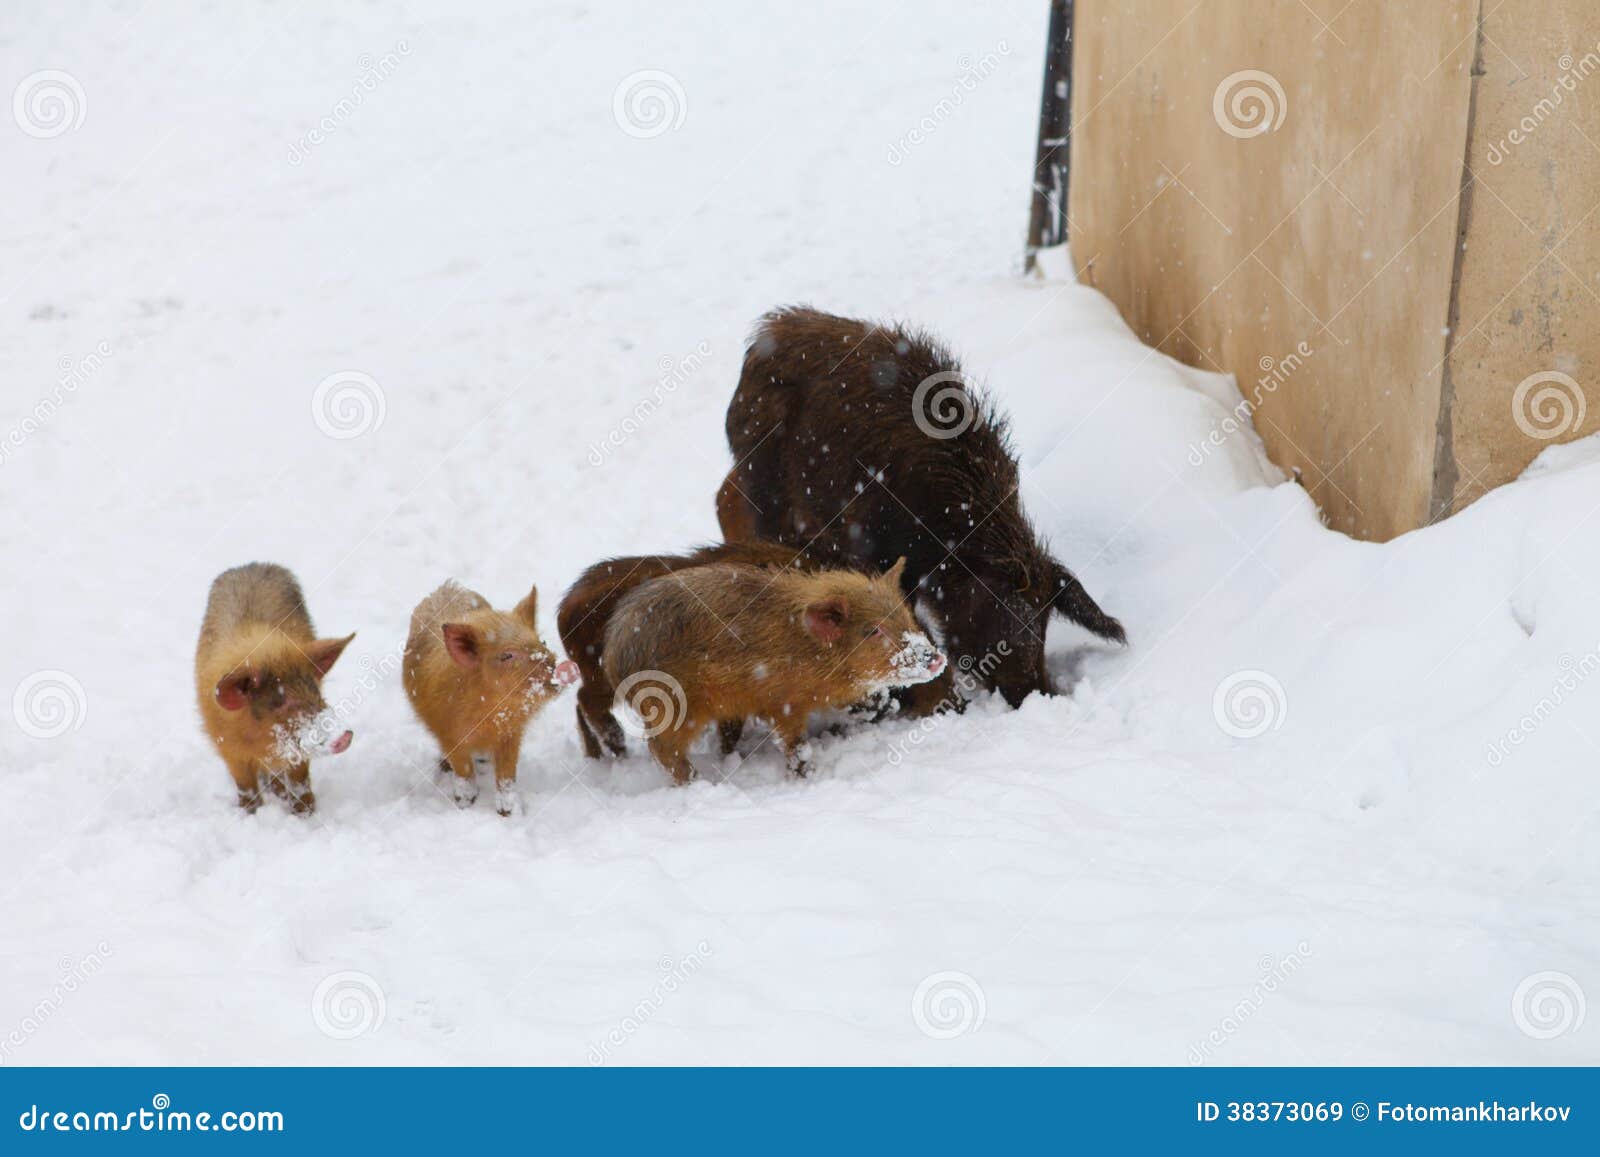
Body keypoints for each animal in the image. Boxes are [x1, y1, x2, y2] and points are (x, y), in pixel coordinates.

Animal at [194, 562, 355, 814]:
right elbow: (246, 786)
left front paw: (305, 814)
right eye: (281, 699)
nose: (345, 735)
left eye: (315, 690)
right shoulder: (228, 747)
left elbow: (300, 781)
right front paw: (251, 813)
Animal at [403, 579, 576, 816]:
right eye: (507, 655)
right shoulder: (448, 733)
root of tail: (448, 586)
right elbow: (464, 771)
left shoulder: (511, 734)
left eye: (543, 642)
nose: (559, 667)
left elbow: (507, 776)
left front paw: (509, 813)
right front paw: (465, 804)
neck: (490, 713)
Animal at [602, 556, 945, 784]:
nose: (937, 659)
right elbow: (795, 744)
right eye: (872, 630)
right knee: (662, 750)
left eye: (905, 614)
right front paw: (806, 777)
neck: (807, 648)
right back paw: (701, 782)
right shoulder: (782, 702)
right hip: (673, 705)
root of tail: (613, 653)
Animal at [717, 306, 1125, 707]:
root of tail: (765, 334)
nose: (1041, 692)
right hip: (764, 481)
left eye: (1044, 622)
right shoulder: (872, 547)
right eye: (1008, 615)